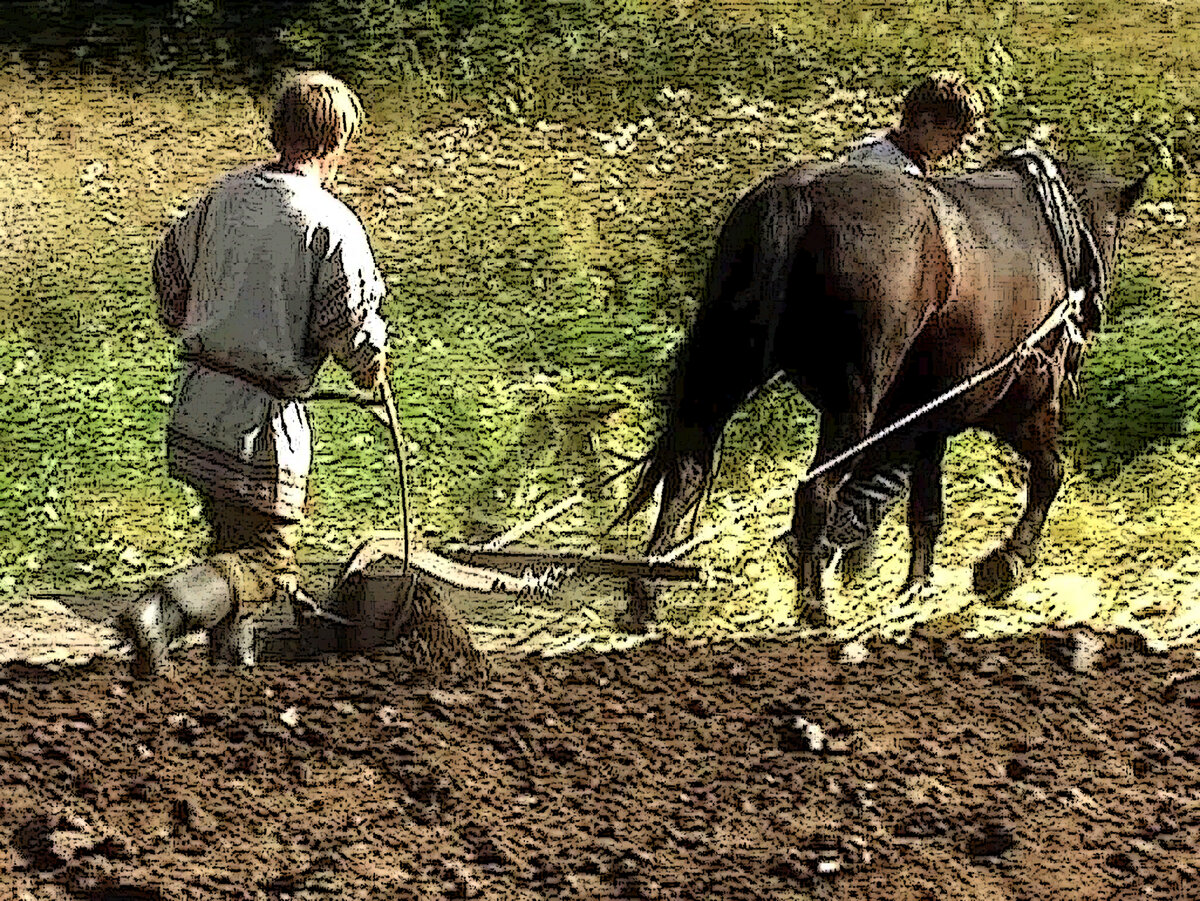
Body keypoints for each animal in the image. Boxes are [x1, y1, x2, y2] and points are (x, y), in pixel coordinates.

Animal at [619, 148, 1142, 628]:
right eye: (1114, 233)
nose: (1095, 312)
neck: (1052, 234)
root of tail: (798, 196)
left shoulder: (928, 423)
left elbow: (926, 511)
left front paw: (915, 590)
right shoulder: (1020, 404)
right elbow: (1049, 472)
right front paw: (1004, 565)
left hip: (725, 373)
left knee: (685, 472)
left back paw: (647, 596)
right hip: (853, 408)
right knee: (815, 490)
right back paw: (813, 608)